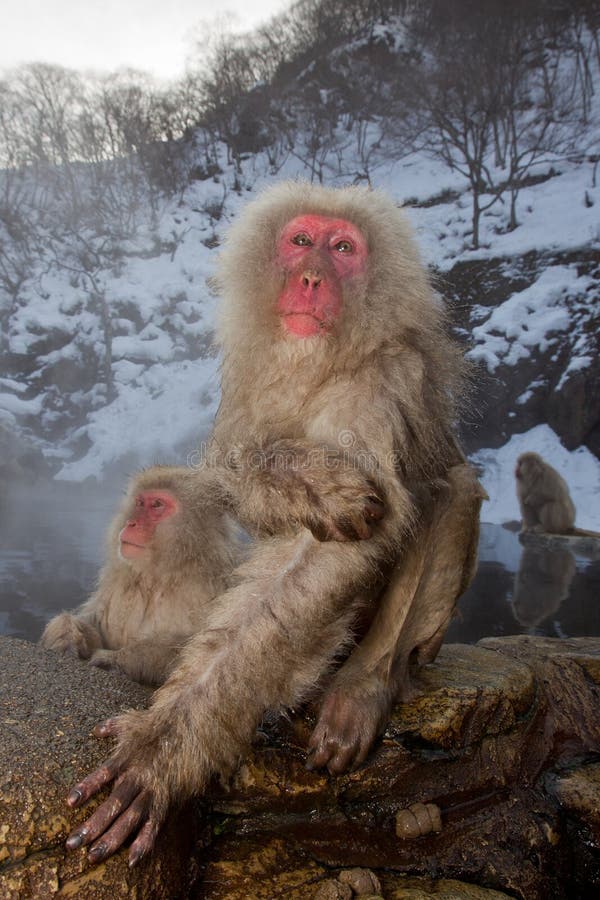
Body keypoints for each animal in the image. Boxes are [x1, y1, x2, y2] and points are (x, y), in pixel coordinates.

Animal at [40, 466, 239, 685]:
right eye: (140, 503)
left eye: (157, 504)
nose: (130, 523)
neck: (159, 576)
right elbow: (96, 624)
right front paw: (65, 634)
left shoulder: (212, 589)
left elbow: (206, 654)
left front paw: (117, 660)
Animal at [62, 181, 485, 867]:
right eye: (301, 239)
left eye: (343, 249)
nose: (312, 277)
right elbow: (240, 470)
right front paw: (297, 479)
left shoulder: (379, 381)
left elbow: (331, 552)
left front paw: (163, 748)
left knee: (447, 490)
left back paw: (364, 685)